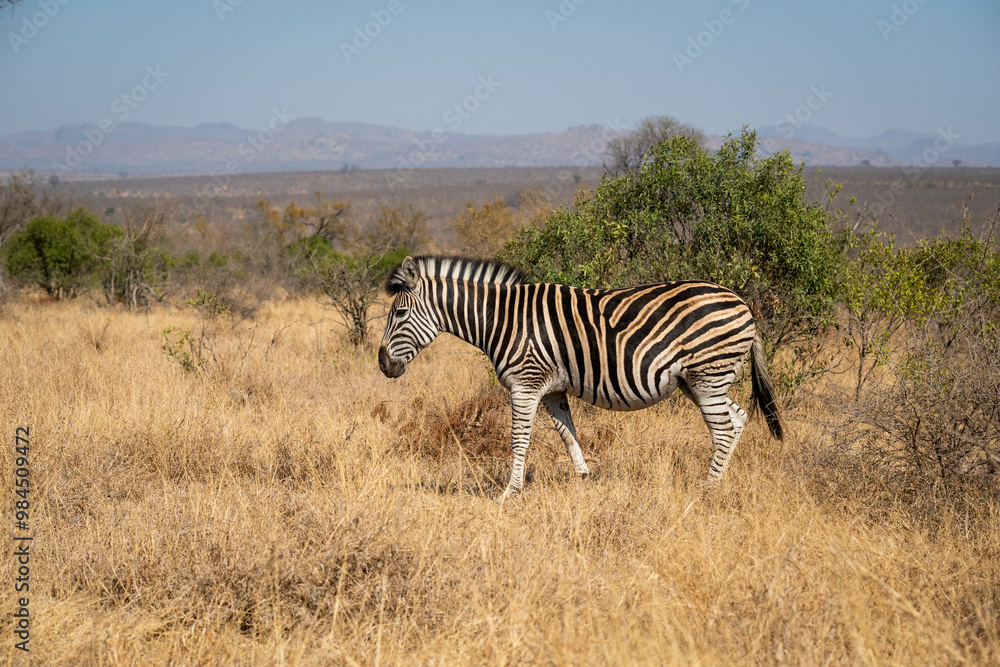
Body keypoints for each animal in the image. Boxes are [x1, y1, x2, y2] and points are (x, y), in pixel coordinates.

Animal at [378, 255, 783, 500]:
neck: (501, 319)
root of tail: (743, 303)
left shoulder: (524, 385)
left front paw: (510, 492)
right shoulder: (552, 390)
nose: (382, 364)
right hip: (698, 380)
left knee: (724, 428)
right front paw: (585, 480)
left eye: (399, 314)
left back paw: (707, 489)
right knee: (738, 418)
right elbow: (567, 434)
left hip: (707, 375)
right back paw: (719, 481)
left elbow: (519, 440)